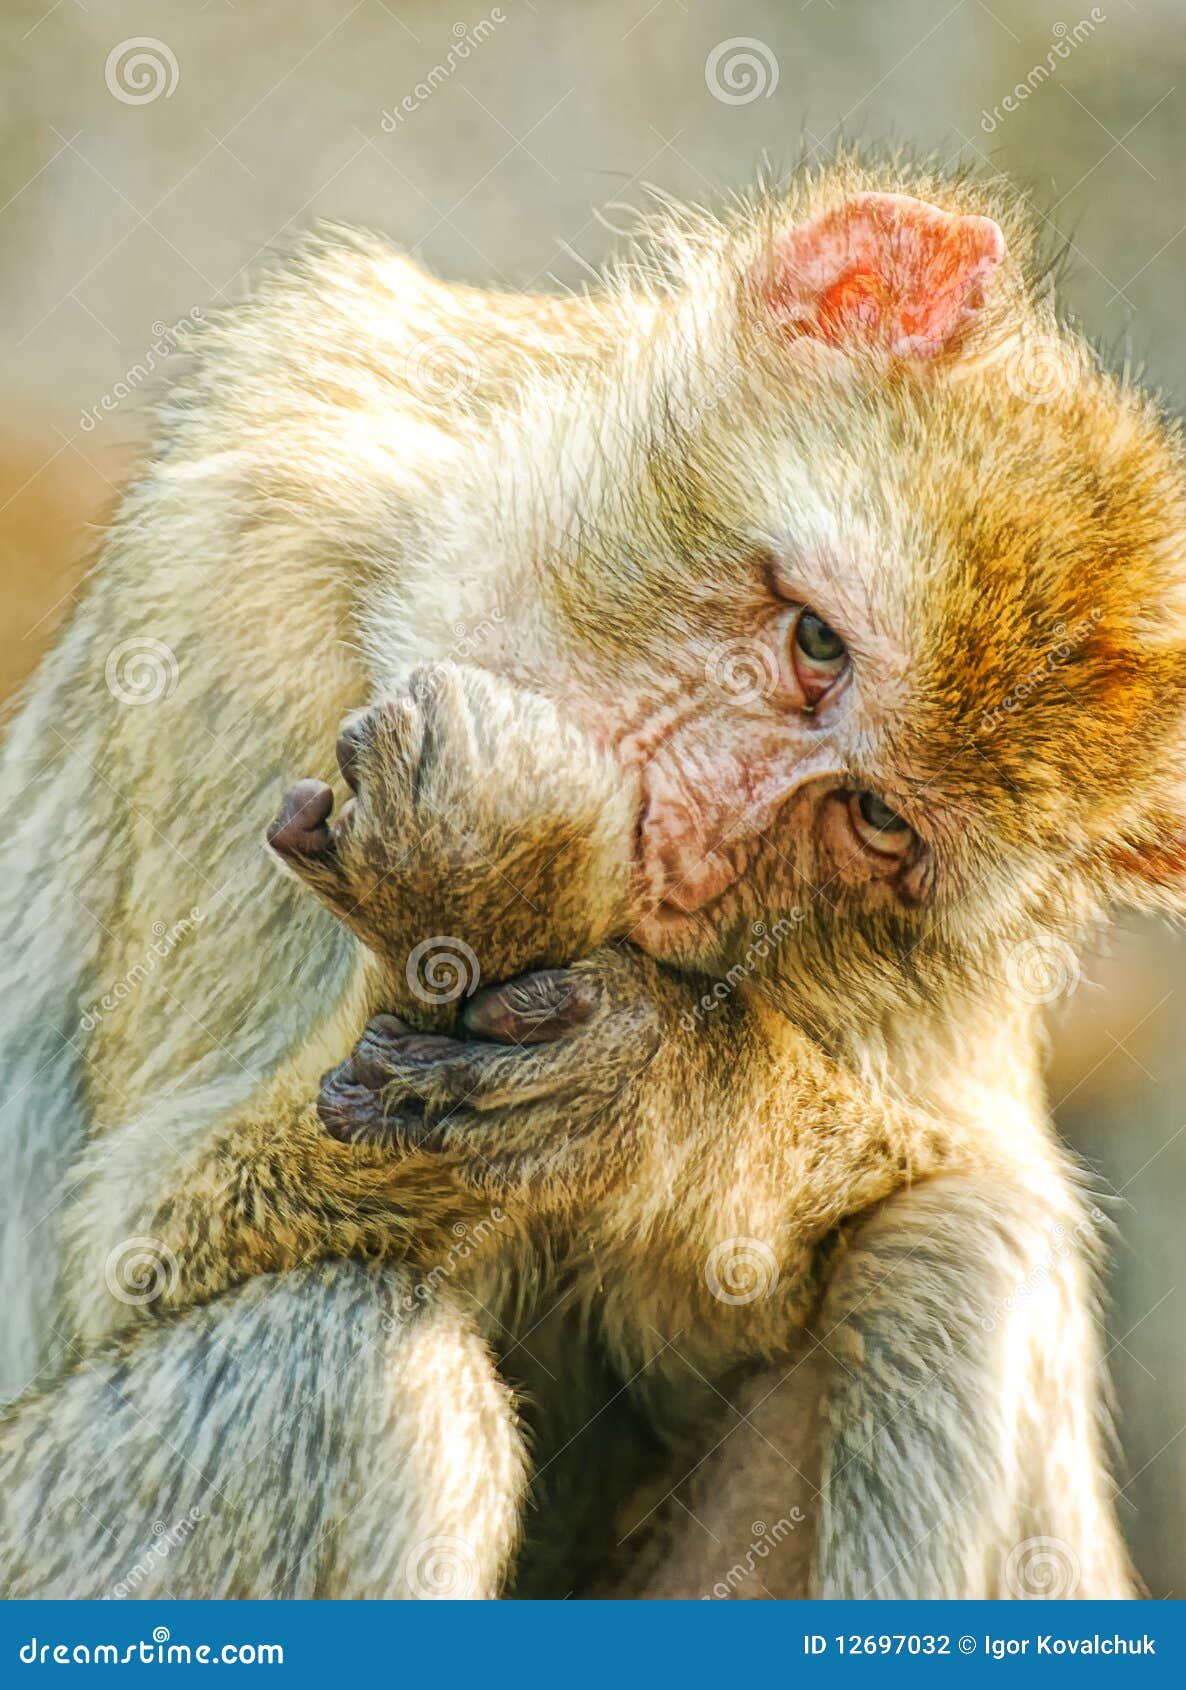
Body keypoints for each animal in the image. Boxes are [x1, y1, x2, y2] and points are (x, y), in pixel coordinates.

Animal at [2, 147, 1185, 1599]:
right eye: (814, 641)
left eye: (872, 820)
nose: (687, 841)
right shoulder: (238, 584)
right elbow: (125, 1243)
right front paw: (481, 890)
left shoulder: (937, 977)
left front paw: (662, 1088)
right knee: (348, 1377)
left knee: (962, 1251)